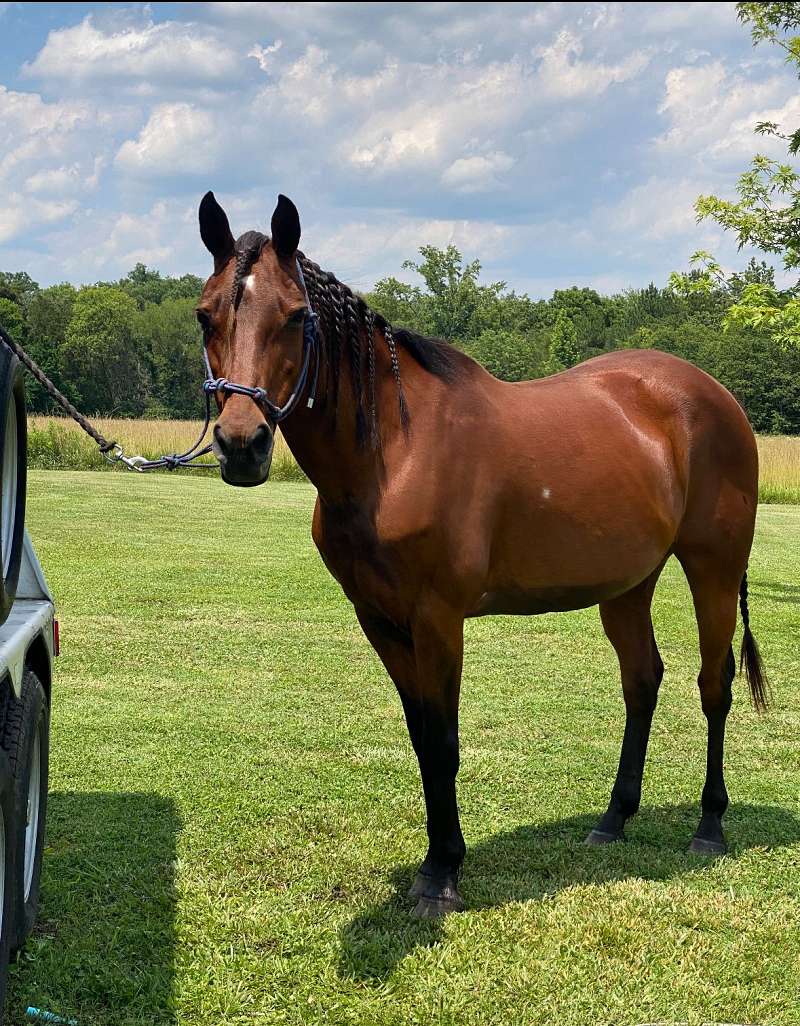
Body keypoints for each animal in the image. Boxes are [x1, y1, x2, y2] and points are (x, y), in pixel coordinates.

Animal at [196, 191, 768, 918]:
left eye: (296, 316)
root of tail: (716, 396)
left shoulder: (438, 618)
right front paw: (437, 858)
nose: (241, 445)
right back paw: (613, 820)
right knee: (642, 680)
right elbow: (420, 739)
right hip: (627, 584)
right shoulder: (380, 620)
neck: (395, 451)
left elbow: (444, 742)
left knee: (713, 685)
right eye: (205, 314)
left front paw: (442, 875)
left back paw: (709, 826)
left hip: (713, 568)